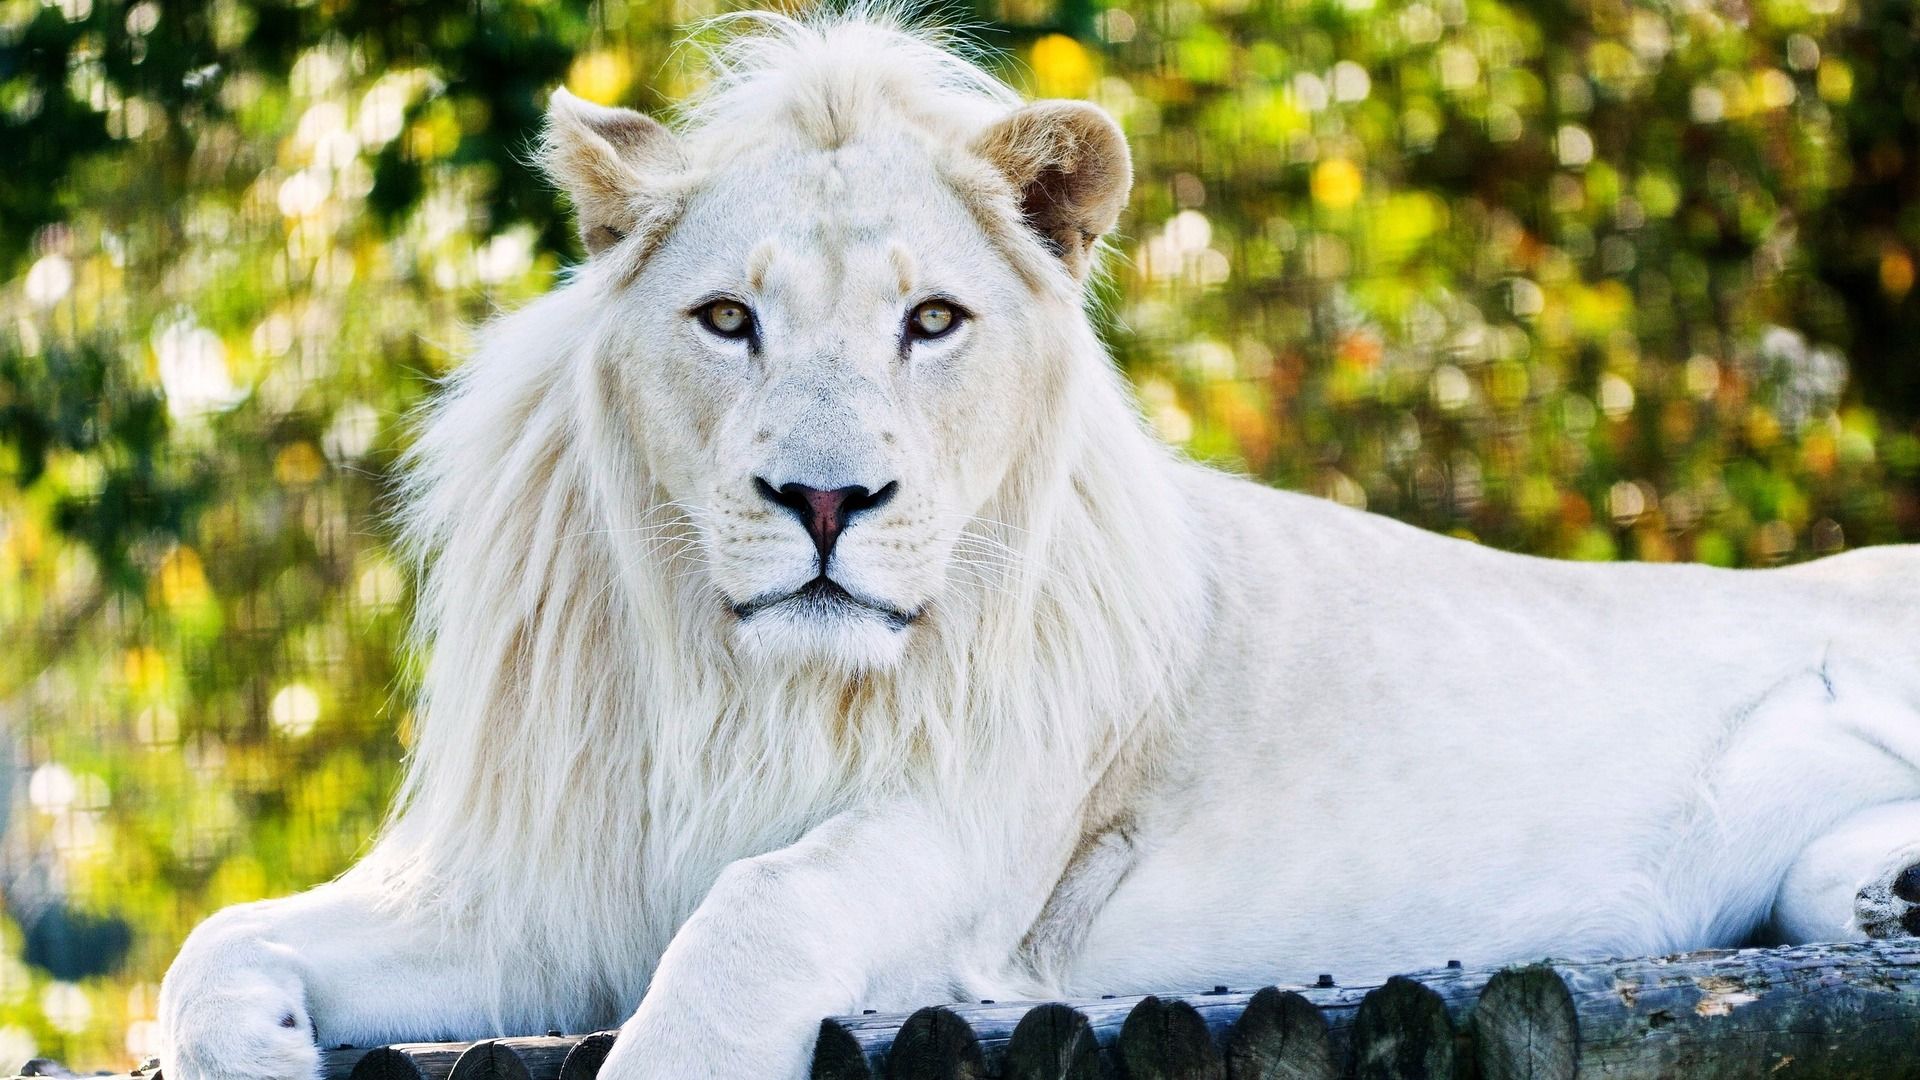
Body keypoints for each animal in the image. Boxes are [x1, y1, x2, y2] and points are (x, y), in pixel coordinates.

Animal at [158, 11, 1920, 1080]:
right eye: (728, 321)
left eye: (931, 322)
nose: (824, 504)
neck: (747, 689)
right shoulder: (537, 896)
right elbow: (213, 946)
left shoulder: (975, 840)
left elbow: (753, 917)